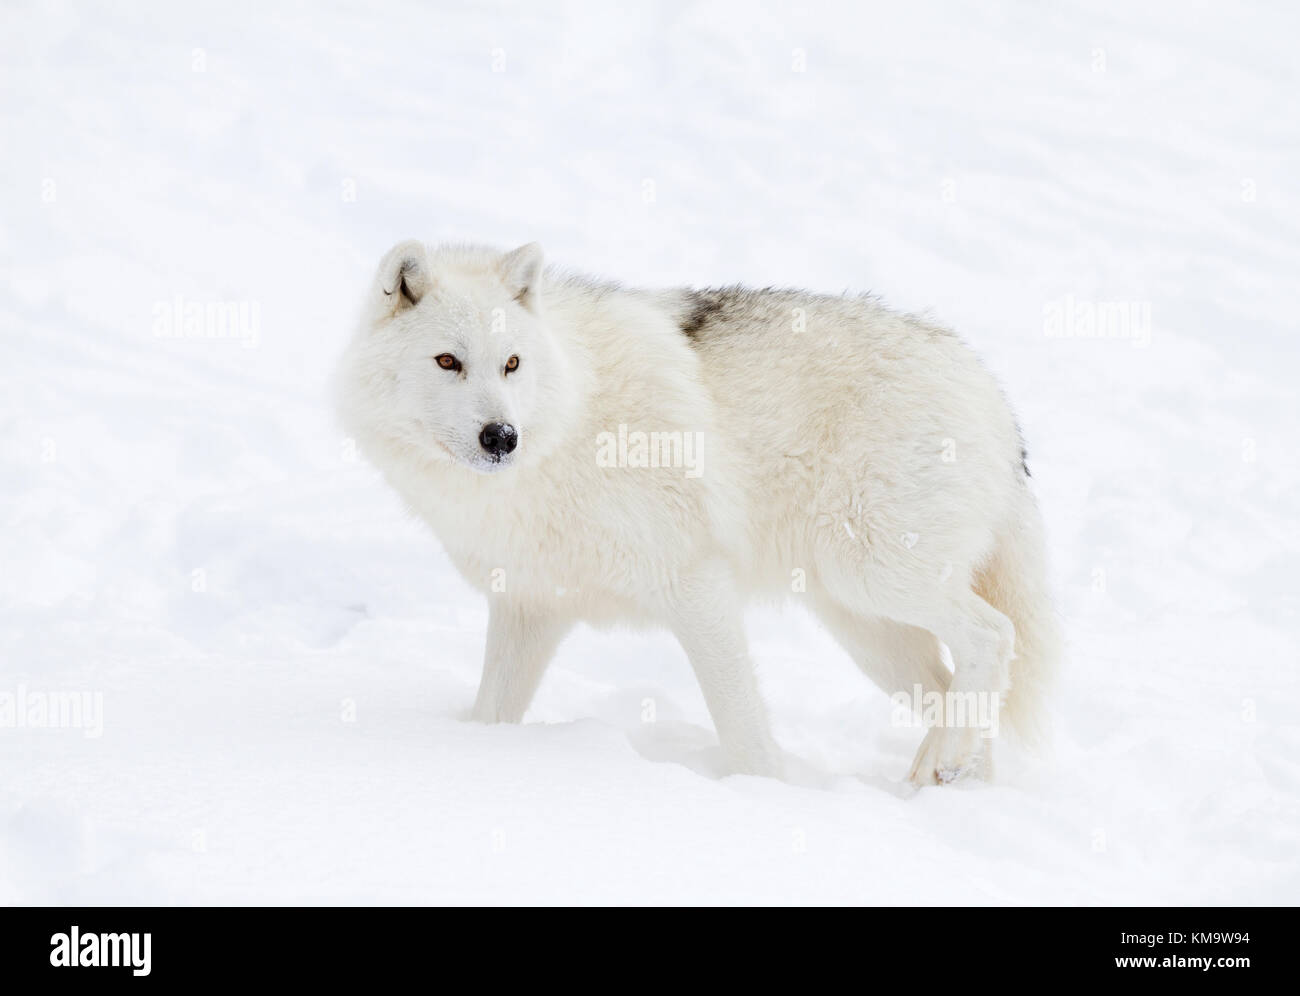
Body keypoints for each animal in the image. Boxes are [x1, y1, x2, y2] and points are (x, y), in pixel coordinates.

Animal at [334, 240, 1060, 785]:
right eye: (447, 361)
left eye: (511, 363)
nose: (502, 437)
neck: (567, 428)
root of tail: (989, 387)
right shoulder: (528, 609)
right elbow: (490, 715)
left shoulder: (696, 586)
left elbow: (743, 728)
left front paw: (762, 793)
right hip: (866, 629)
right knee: (956, 690)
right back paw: (948, 780)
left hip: (874, 579)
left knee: (995, 637)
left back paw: (943, 763)